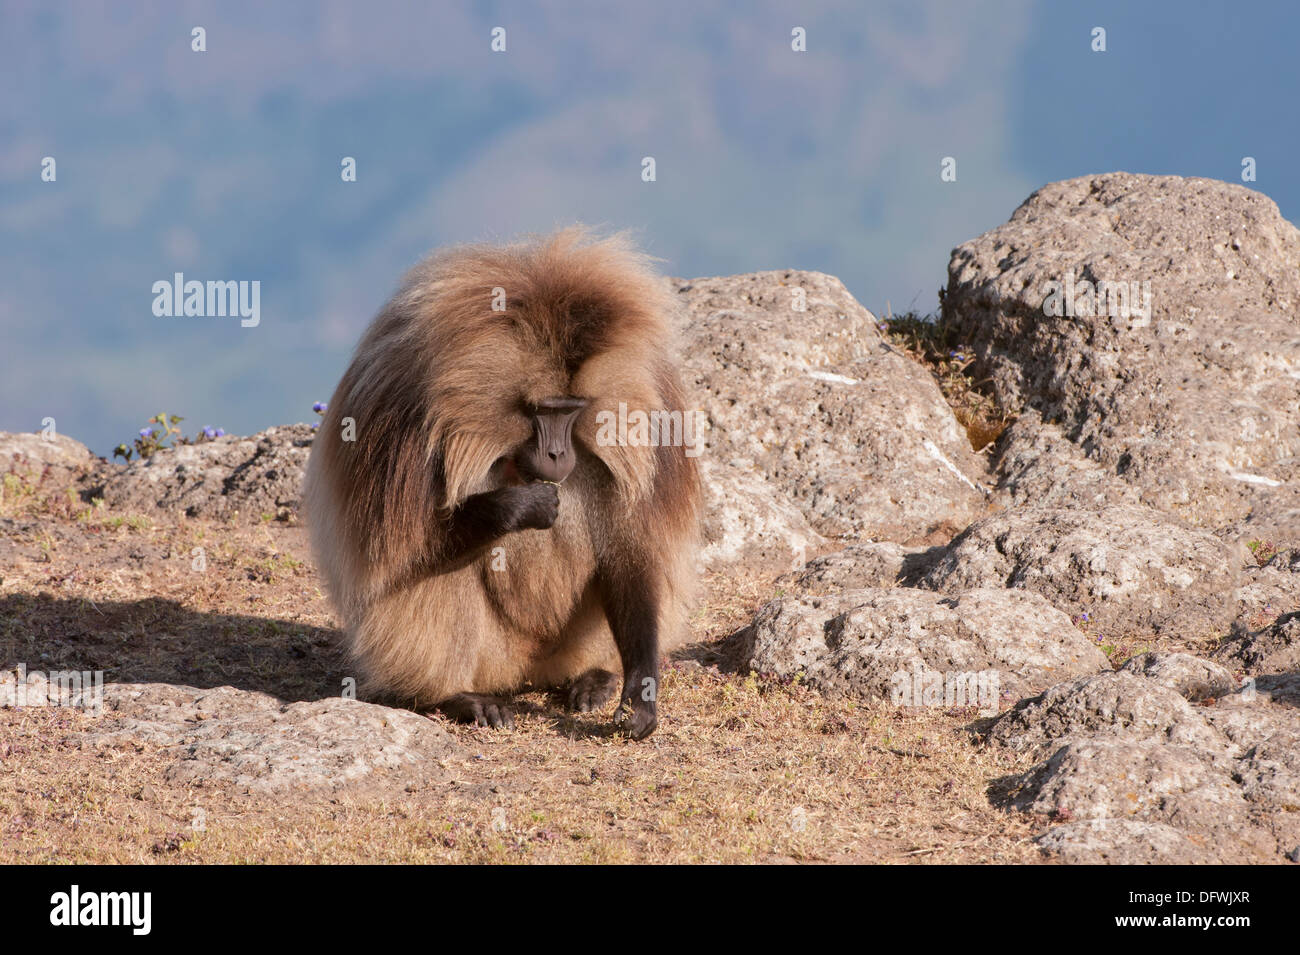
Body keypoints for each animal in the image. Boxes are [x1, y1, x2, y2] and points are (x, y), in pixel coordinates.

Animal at [302, 227, 701, 740]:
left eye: (572, 410)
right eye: (544, 410)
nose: (558, 456)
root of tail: (528, 671)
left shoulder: (647, 434)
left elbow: (629, 556)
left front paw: (640, 697)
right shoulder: (399, 430)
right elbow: (393, 553)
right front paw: (518, 507)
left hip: (561, 649)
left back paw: (594, 678)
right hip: (494, 657)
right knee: (441, 574)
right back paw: (460, 697)